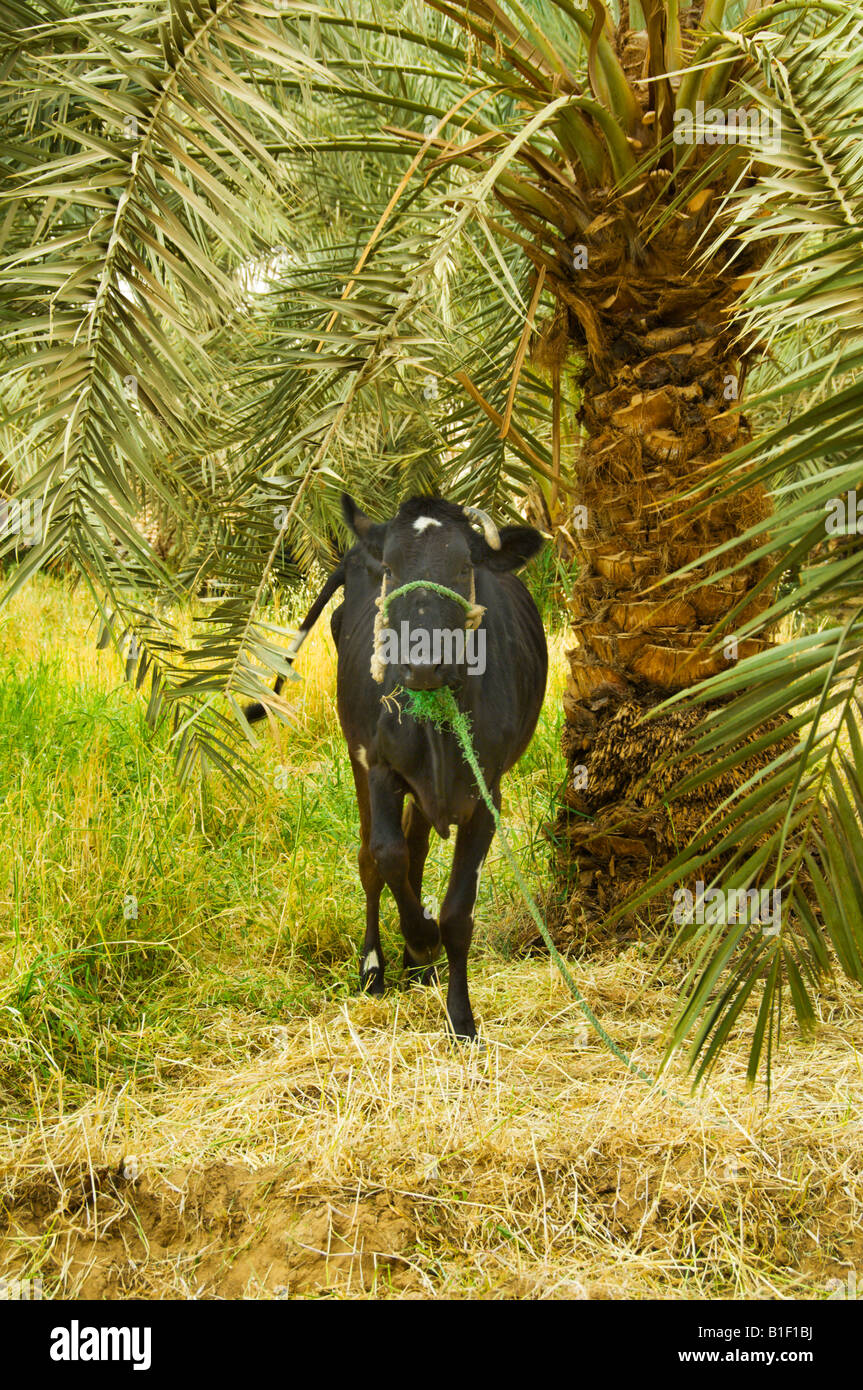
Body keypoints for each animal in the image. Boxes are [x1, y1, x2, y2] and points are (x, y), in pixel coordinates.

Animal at [247, 494, 547, 1040]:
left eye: (465, 566)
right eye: (389, 568)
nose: (423, 662)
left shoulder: (486, 792)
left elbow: (457, 911)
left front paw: (460, 1016)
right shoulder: (381, 767)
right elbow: (386, 858)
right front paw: (419, 937)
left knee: (418, 848)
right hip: (357, 755)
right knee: (372, 858)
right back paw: (376, 965)